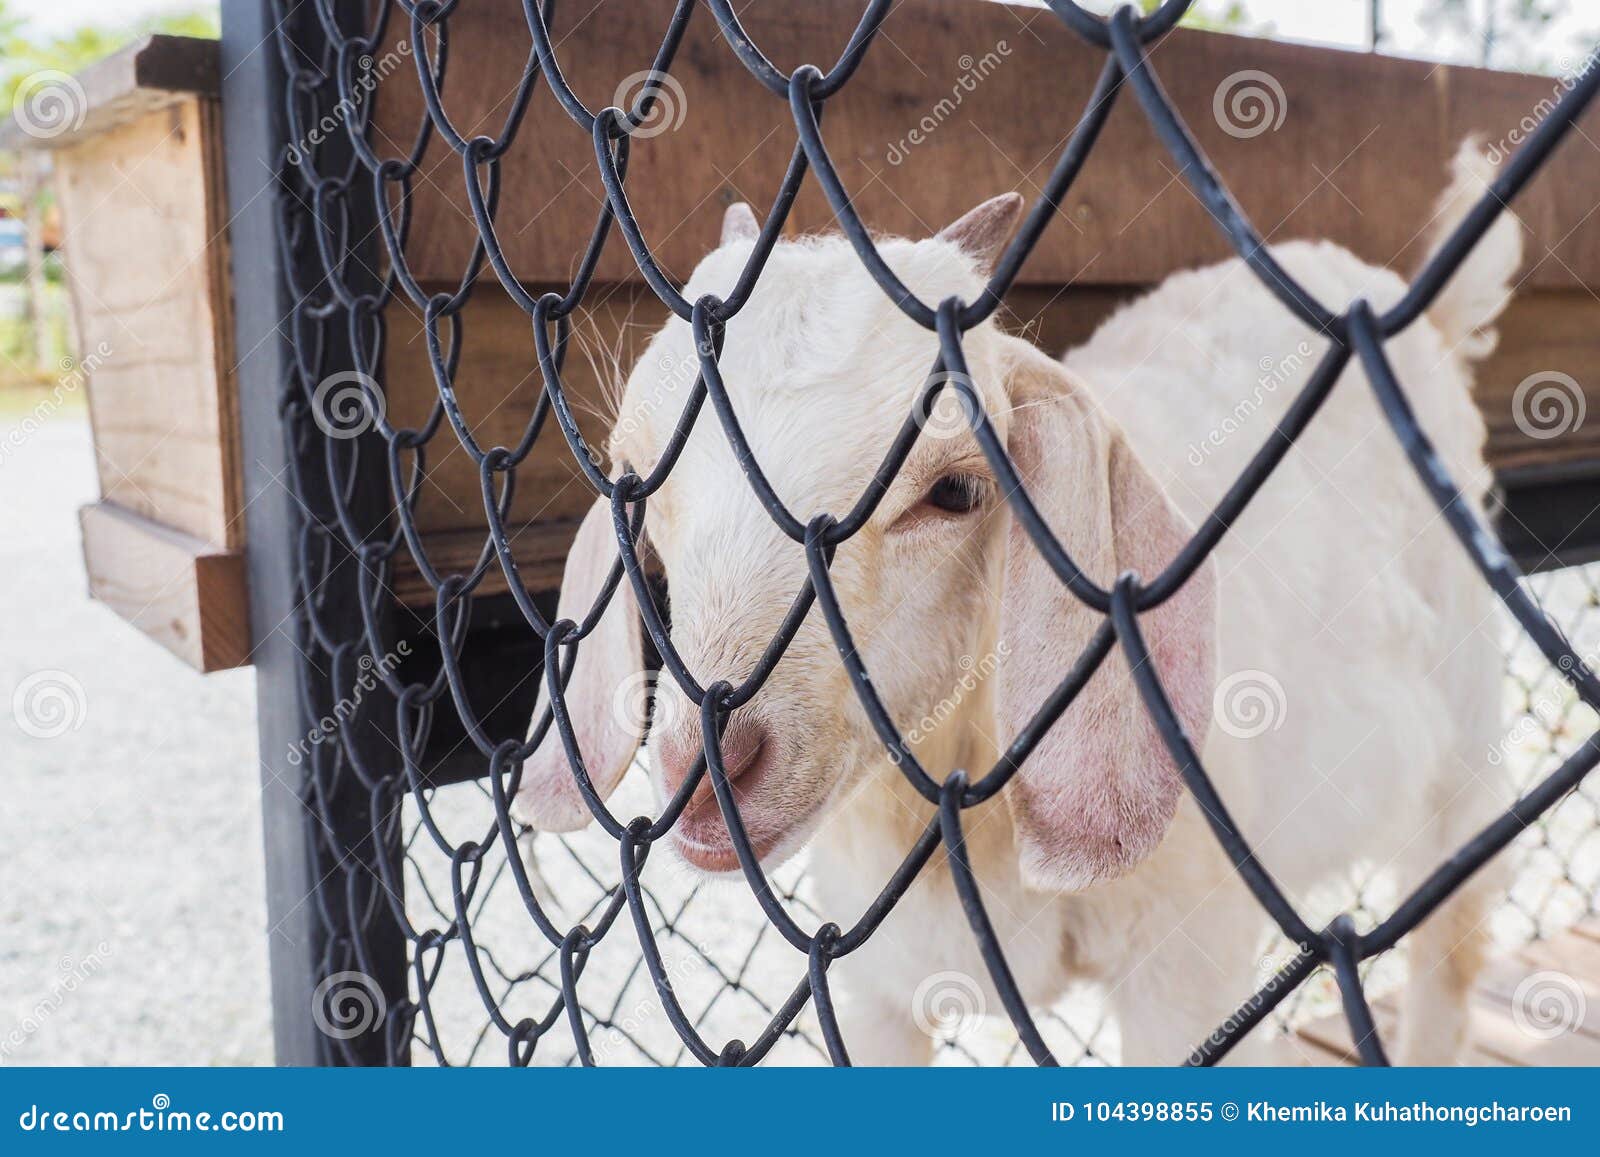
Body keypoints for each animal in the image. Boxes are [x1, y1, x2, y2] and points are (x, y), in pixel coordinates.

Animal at [516, 140, 1523, 1066]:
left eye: (959, 491)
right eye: (640, 487)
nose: (705, 769)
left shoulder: (1186, 964)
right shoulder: (873, 981)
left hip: (1465, 731)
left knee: (1451, 941)